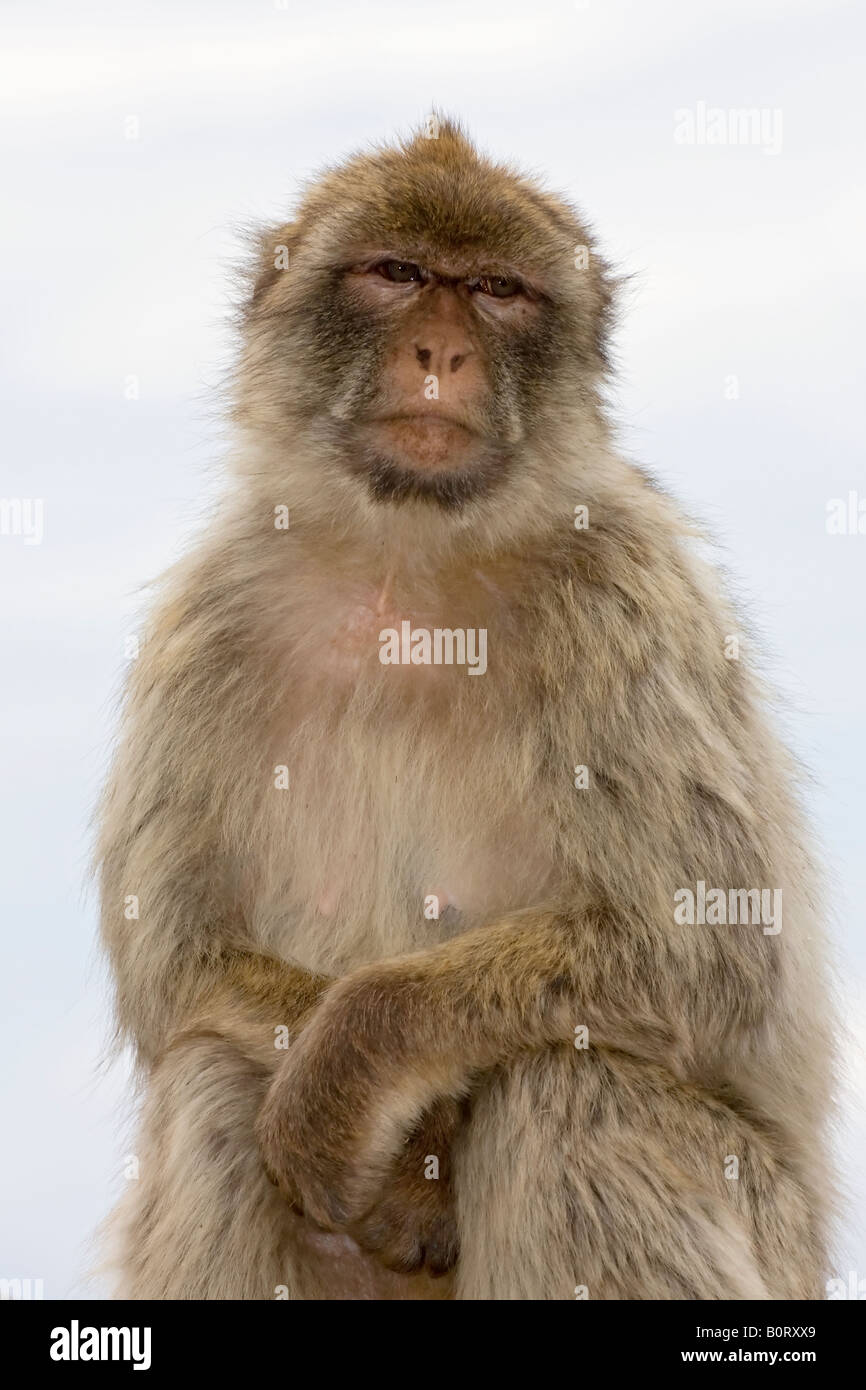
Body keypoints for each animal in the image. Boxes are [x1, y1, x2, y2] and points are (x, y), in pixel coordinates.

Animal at [97, 118, 835, 1301]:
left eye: (496, 290)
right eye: (396, 273)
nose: (440, 354)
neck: (411, 562)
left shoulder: (626, 597)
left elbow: (703, 948)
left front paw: (355, 1061)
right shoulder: (202, 620)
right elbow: (177, 962)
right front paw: (400, 1155)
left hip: (776, 1232)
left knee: (573, 1091)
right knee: (210, 1078)